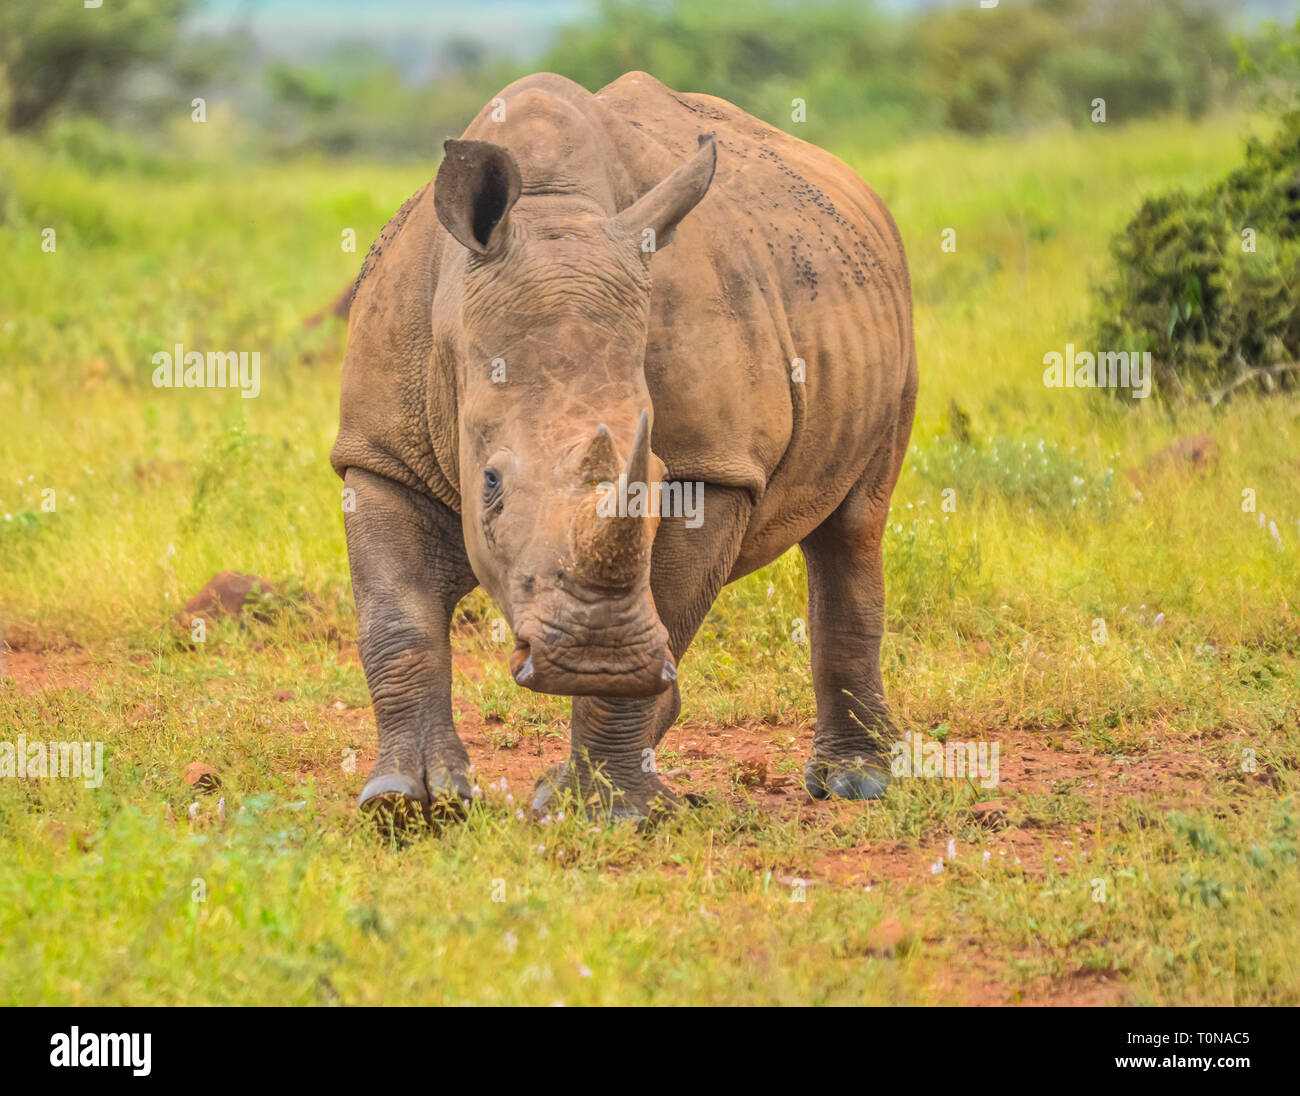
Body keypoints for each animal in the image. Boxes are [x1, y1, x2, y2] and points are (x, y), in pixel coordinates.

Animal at [331, 71, 918, 823]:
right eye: (490, 482)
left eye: (658, 478)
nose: (593, 654)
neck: (553, 209)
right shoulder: (379, 456)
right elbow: (396, 621)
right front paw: (410, 803)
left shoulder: (713, 466)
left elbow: (666, 605)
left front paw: (608, 811)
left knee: (854, 527)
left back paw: (853, 782)